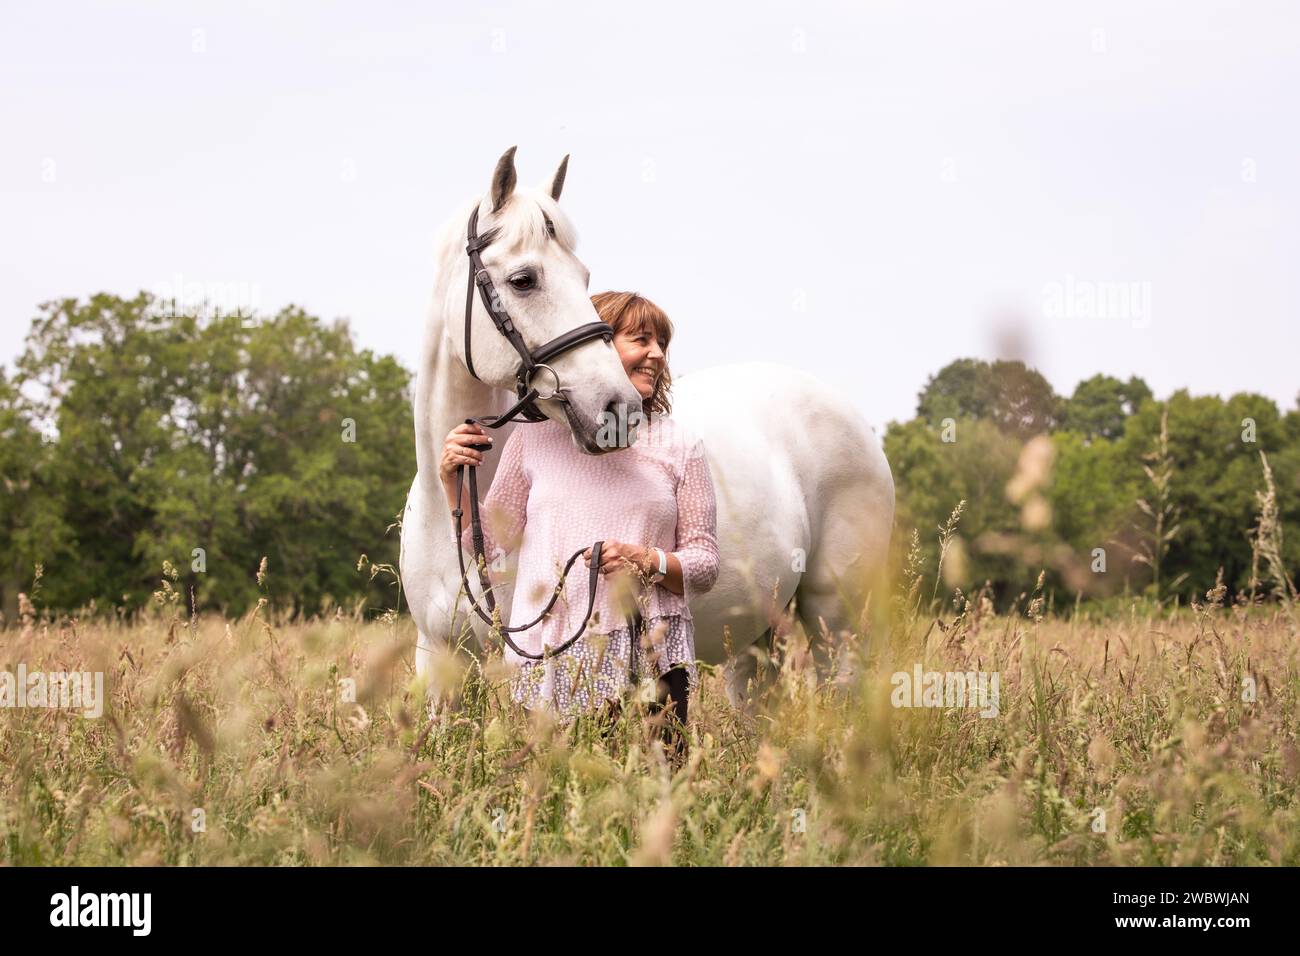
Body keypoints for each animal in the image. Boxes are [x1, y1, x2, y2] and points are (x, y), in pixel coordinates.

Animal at [399, 147, 895, 708]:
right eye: (524, 279)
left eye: (584, 277)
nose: (617, 406)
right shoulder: (439, 659)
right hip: (755, 633)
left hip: (838, 617)